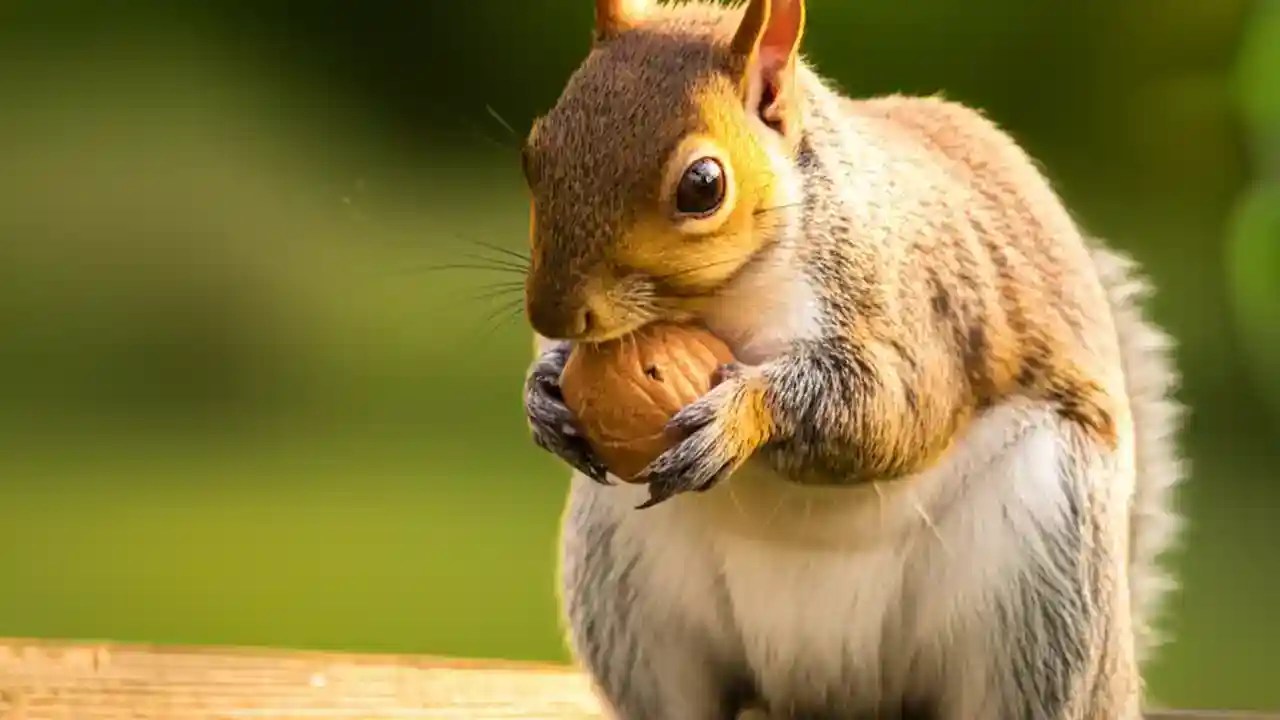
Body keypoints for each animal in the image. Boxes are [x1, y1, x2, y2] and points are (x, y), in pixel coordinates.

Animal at [520, 1, 1184, 718]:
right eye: (534, 152)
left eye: (703, 186)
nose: (552, 315)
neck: (726, 299)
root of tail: (833, 693)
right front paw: (544, 387)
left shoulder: (913, 304)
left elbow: (892, 408)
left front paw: (741, 415)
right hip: (628, 588)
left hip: (1043, 578)